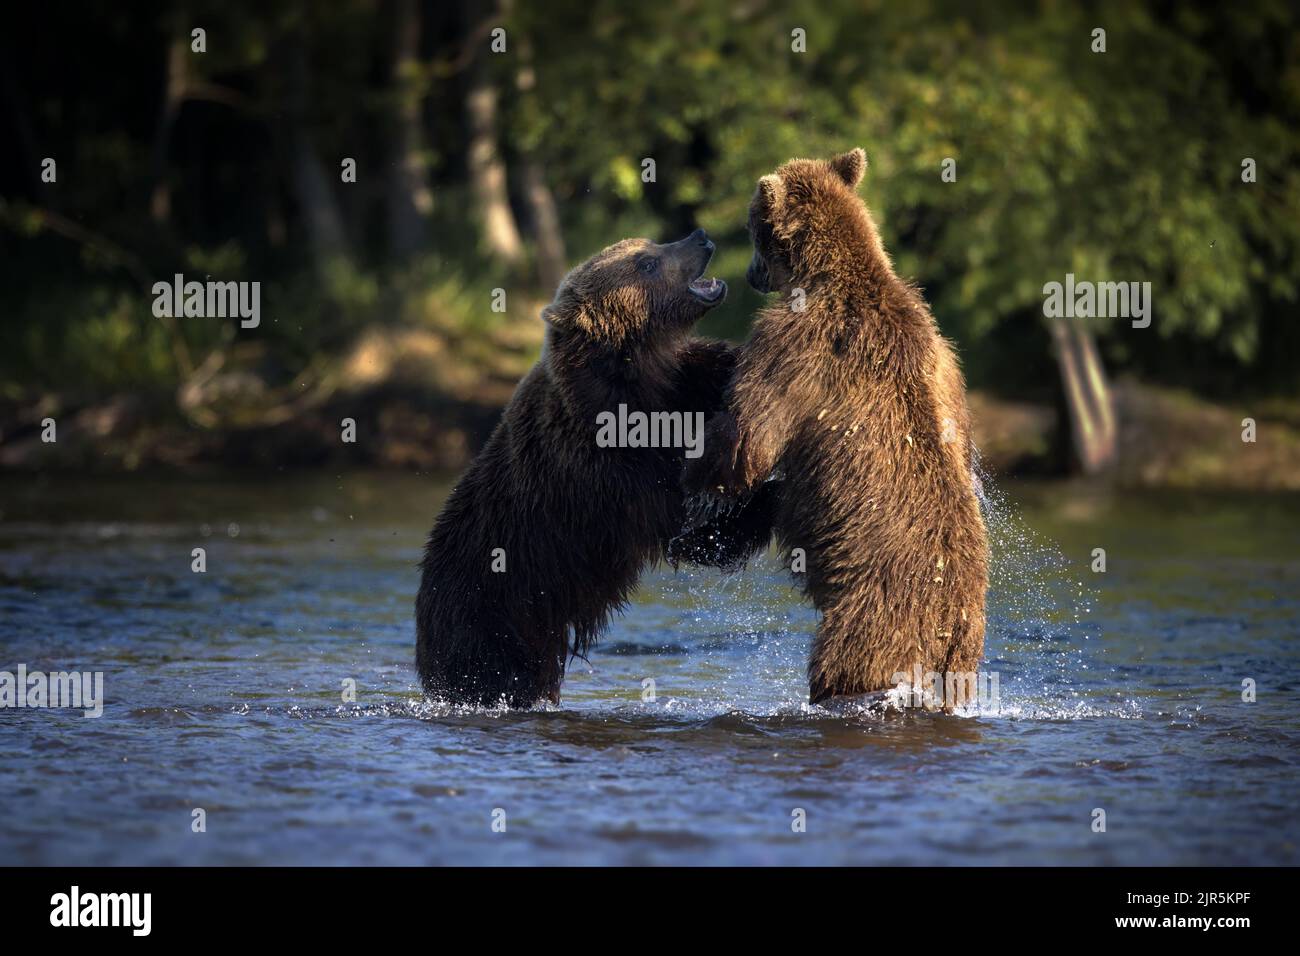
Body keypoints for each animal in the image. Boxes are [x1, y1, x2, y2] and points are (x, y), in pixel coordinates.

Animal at [416, 229, 776, 707]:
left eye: (648, 244)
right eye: (646, 262)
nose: (699, 237)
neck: (637, 379)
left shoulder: (682, 389)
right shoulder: (608, 472)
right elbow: (687, 526)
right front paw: (755, 504)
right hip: (490, 607)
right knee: (495, 673)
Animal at [681, 149, 989, 710]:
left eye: (751, 227)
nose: (752, 274)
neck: (827, 276)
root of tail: (948, 623)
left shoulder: (795, 344)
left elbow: (748, 437)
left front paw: (698, 463)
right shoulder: (942, 352)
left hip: (871, 614)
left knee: (843, 666)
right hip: (963, 649)